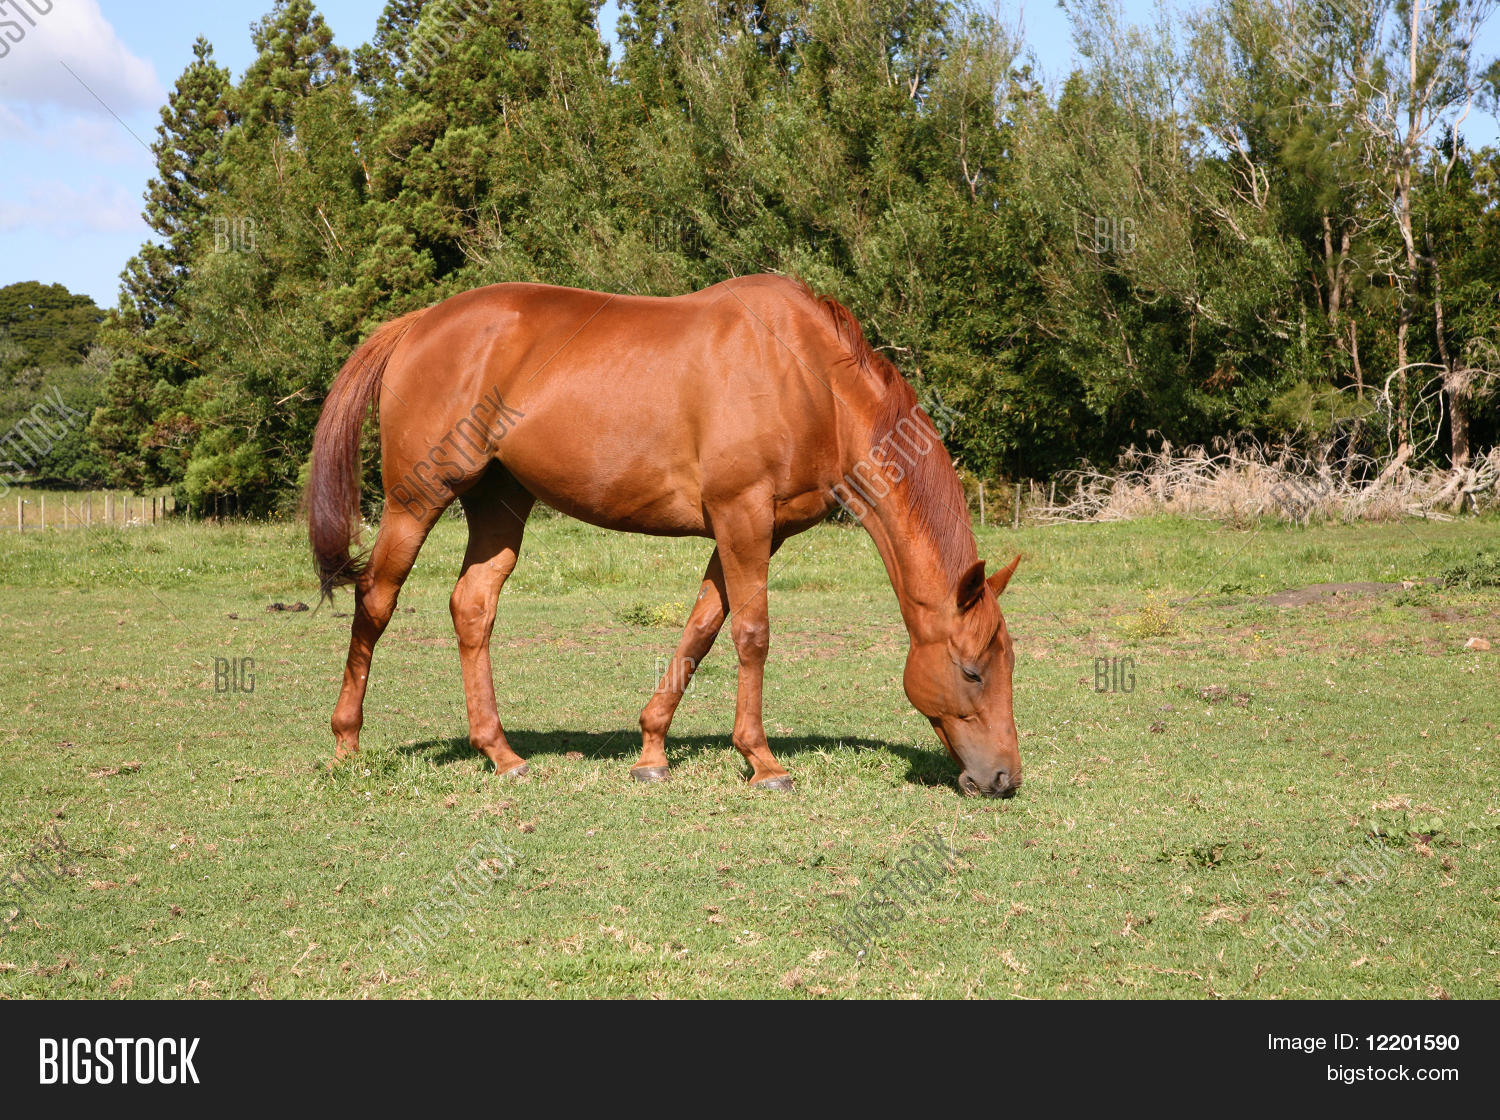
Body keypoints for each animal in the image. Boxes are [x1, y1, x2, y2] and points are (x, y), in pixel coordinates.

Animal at [305, 275, 1023, 797]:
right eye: (972, 670)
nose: (1004, 779)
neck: (809, 377)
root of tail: (419, 324)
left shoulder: (754, 532)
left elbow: (701, 629)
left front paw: (652, 749)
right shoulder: (742, 518)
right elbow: (751, 635)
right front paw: (764, 762)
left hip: (499, 504)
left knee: (473, 607)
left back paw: (501, 752)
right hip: (416, 502)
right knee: (375, 602)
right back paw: (347, 743)